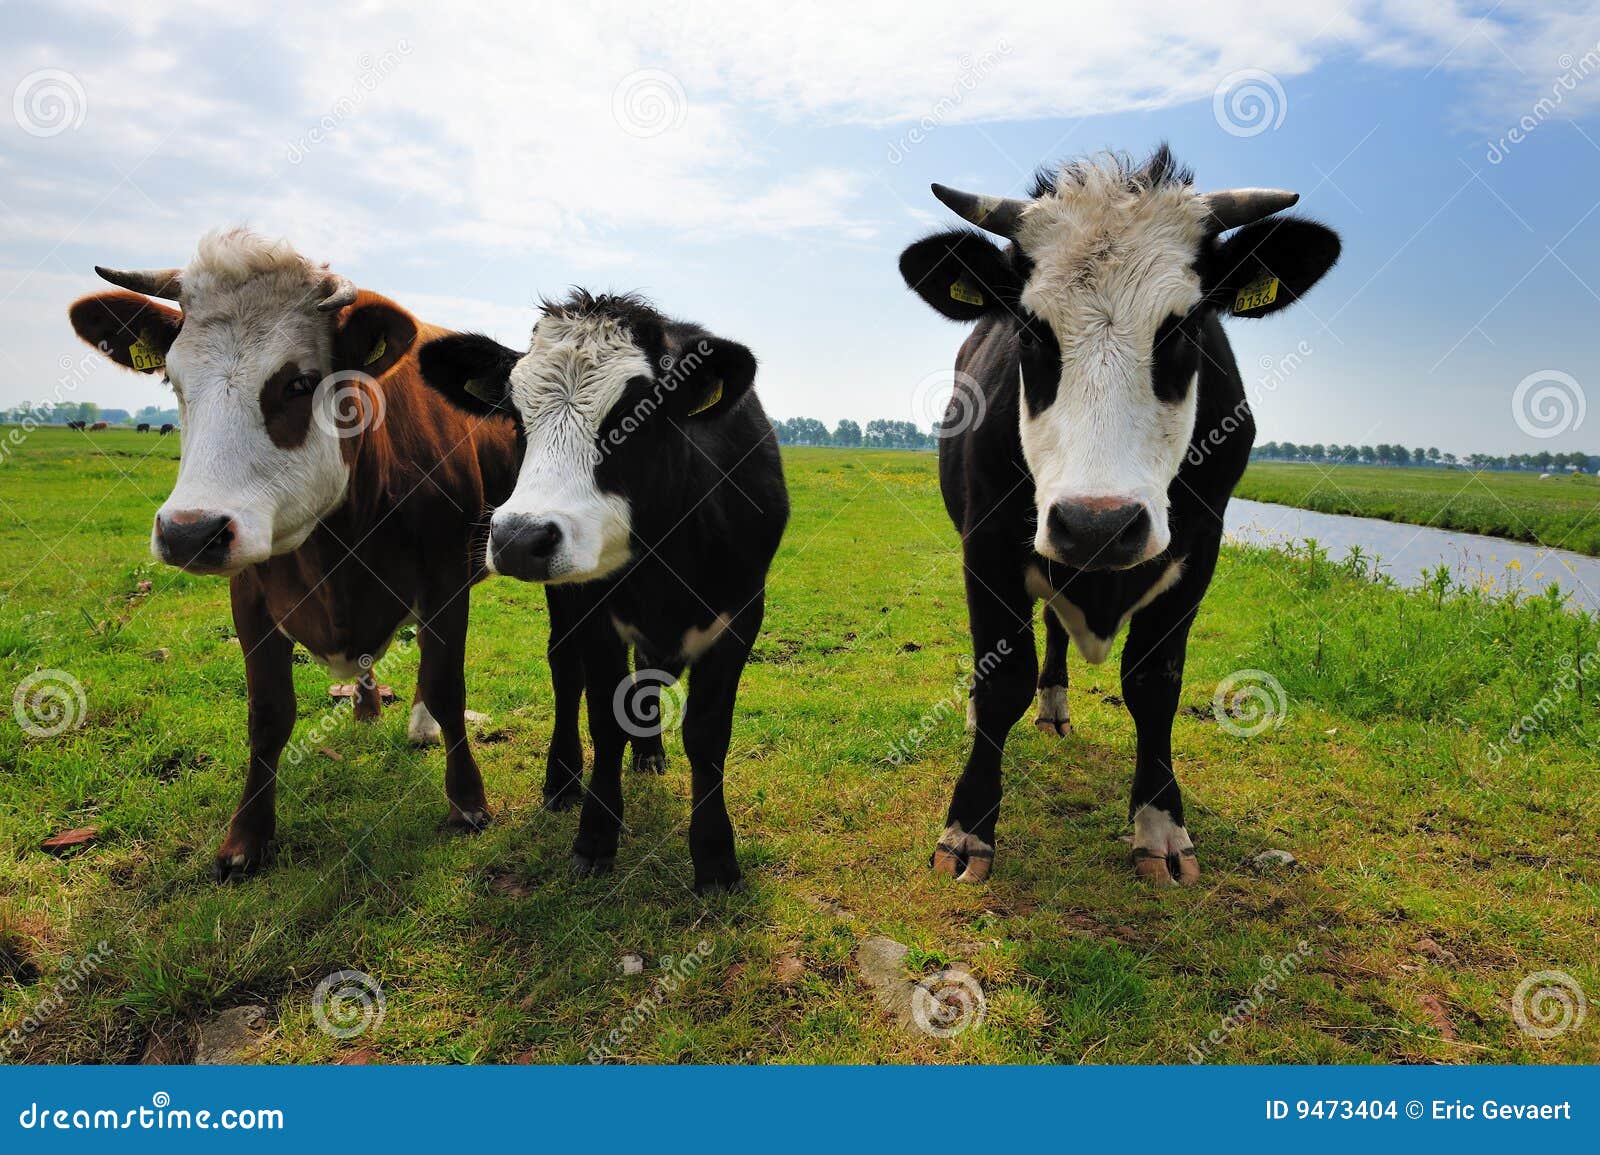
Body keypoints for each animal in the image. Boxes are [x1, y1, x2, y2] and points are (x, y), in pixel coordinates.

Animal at [67, 227, 561, 881]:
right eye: (173, 380)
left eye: (298, 383)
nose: (188, 533)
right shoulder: (249, 593)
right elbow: (268, 714)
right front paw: (246, 837)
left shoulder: (446, 580)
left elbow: (446, 684)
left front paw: (467, 802)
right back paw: (368, 707)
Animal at [416, 290, 789, 892]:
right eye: (515, 417)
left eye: (635, 416)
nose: (519, 537)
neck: (665, 559)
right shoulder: (592, 613)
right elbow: (604, 719)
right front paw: (594, 837)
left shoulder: (742, 612)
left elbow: (707, 734)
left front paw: (714, 857)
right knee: (566, 674)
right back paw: (563, 780)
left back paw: (649, 754)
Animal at [898, 147, 1339, 885]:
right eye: (1031, 328)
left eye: (1184, 326)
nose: (1097, 524)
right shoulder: (985, 545)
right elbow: (1001, 677)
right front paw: (968, 828)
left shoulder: (1199, 550)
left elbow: (1154, 686)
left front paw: (1160, 826)